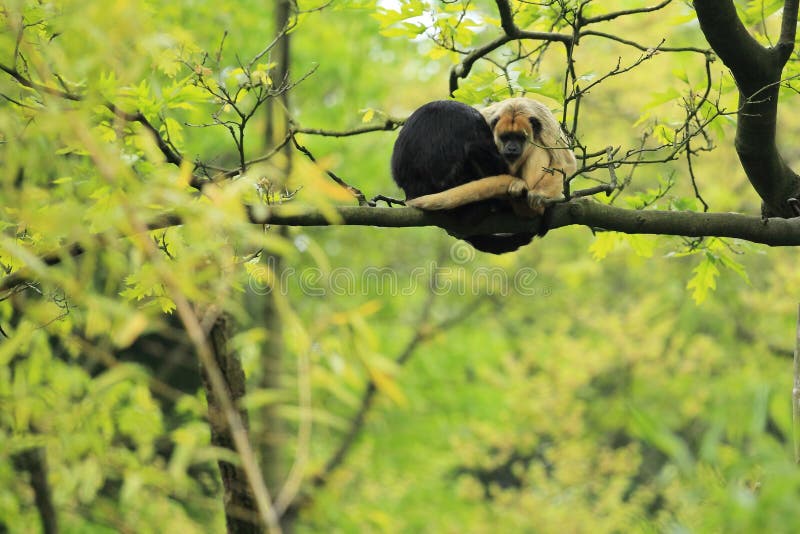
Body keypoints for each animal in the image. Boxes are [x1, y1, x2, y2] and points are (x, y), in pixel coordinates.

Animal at [406, 97, 577, 218]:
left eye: (520, 138)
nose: (512, 148)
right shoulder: (483, 121)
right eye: (505, 137)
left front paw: (538, 194)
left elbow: (565, 162)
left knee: (538, 149)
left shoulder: (545, 122)